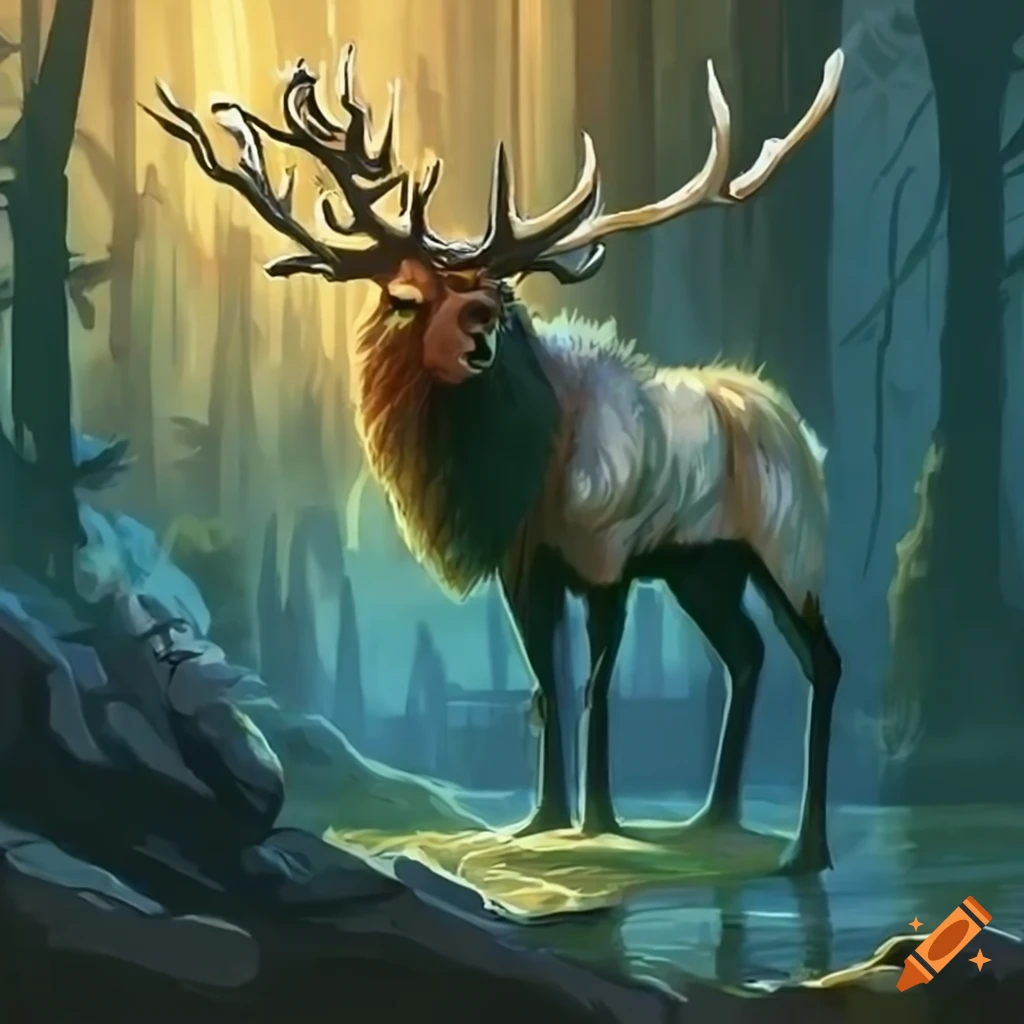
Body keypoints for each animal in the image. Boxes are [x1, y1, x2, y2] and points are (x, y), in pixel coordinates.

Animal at [146, 42, 845, 874]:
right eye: (406, 296)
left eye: (495, 293)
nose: (480, 336)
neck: (526, 475)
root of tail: (805, 437)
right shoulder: (523, 570)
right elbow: (544, 684)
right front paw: (543, 819)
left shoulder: (605, 557)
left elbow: (594, 685)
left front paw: (599, 821)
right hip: (703, 569)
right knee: (745, 656)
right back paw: (712, 819)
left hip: (787, 550)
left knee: (820, 659)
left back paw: (806, 848)